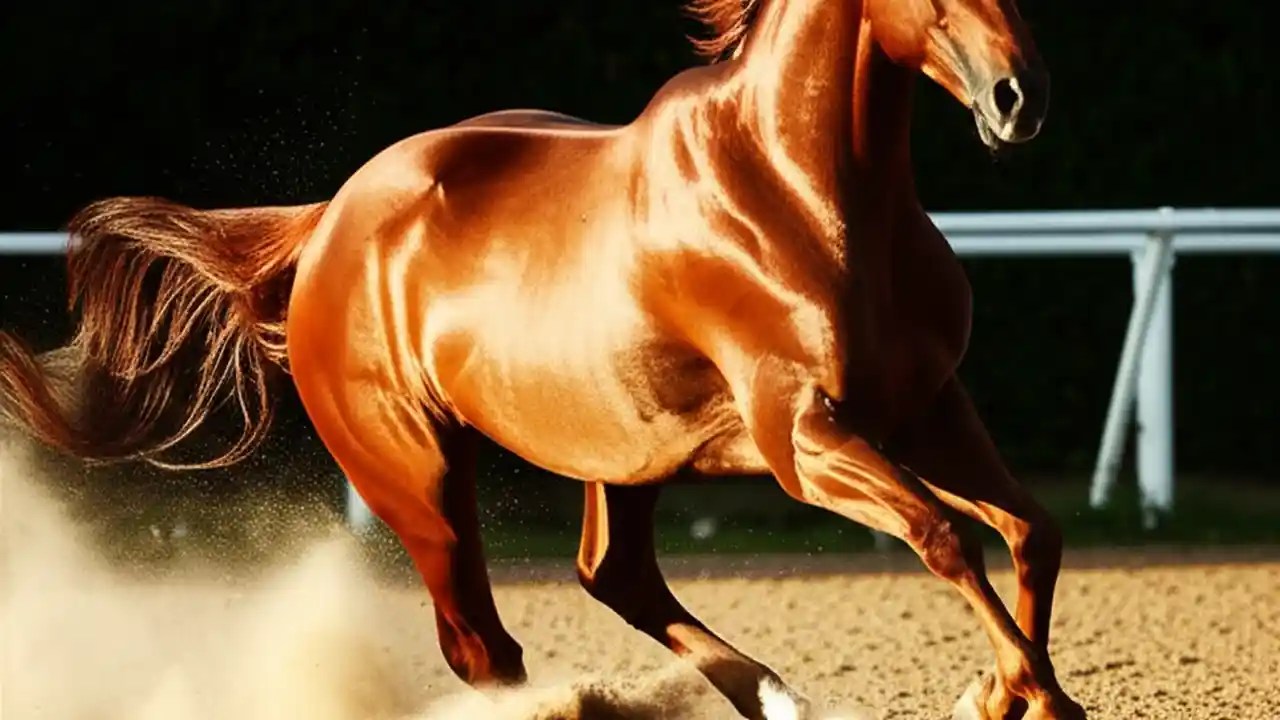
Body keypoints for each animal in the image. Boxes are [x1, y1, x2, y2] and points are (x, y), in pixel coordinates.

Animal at [0, 0, 1085, 717]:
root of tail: (328, 220)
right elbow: (943, 535)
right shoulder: (803, 437)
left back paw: (778, 696)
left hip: (624, 455)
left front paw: (1004, 692)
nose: (1020, 97)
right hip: (418, 477)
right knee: (484, 643)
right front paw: (1026, 697)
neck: (799, 189)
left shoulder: (926, 407)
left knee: (615, 576)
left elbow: (1029, 530)